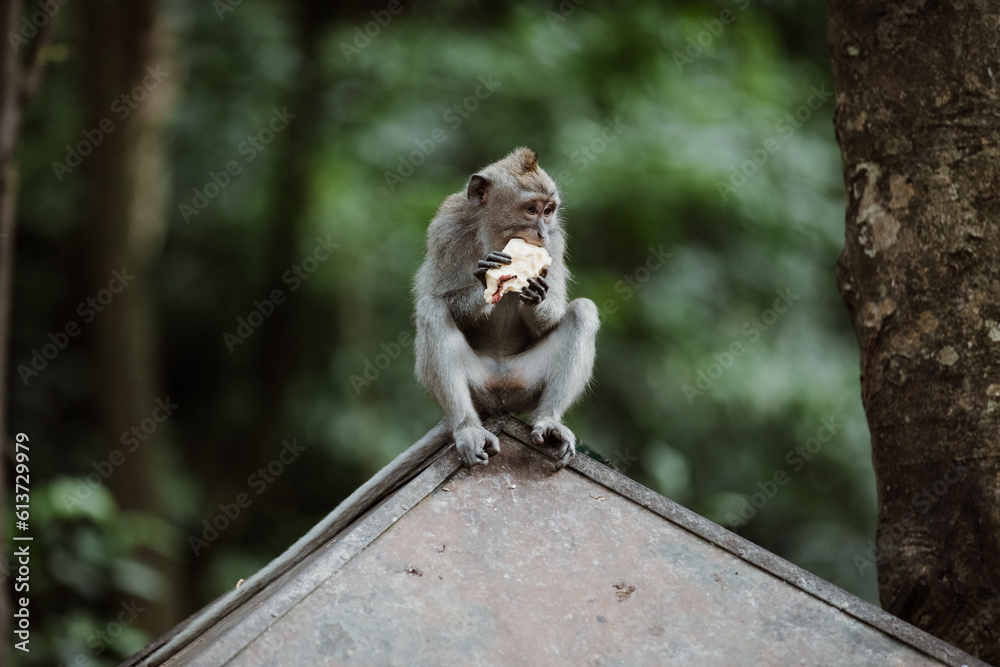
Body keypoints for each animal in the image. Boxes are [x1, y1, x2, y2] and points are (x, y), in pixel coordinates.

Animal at [413, 147, 599, 469]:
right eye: (531, 209)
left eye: (548, 211)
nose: (542, 233)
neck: (496, 235)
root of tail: (501, 391)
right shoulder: (446, 231)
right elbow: (434, 296)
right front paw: (485, 283)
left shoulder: (556, 241)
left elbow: (551, 318)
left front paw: (535, 294)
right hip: (479, 386)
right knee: (431, 310)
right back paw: (468, 428)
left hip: (526, 382)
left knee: (583, 312)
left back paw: (549, 421)